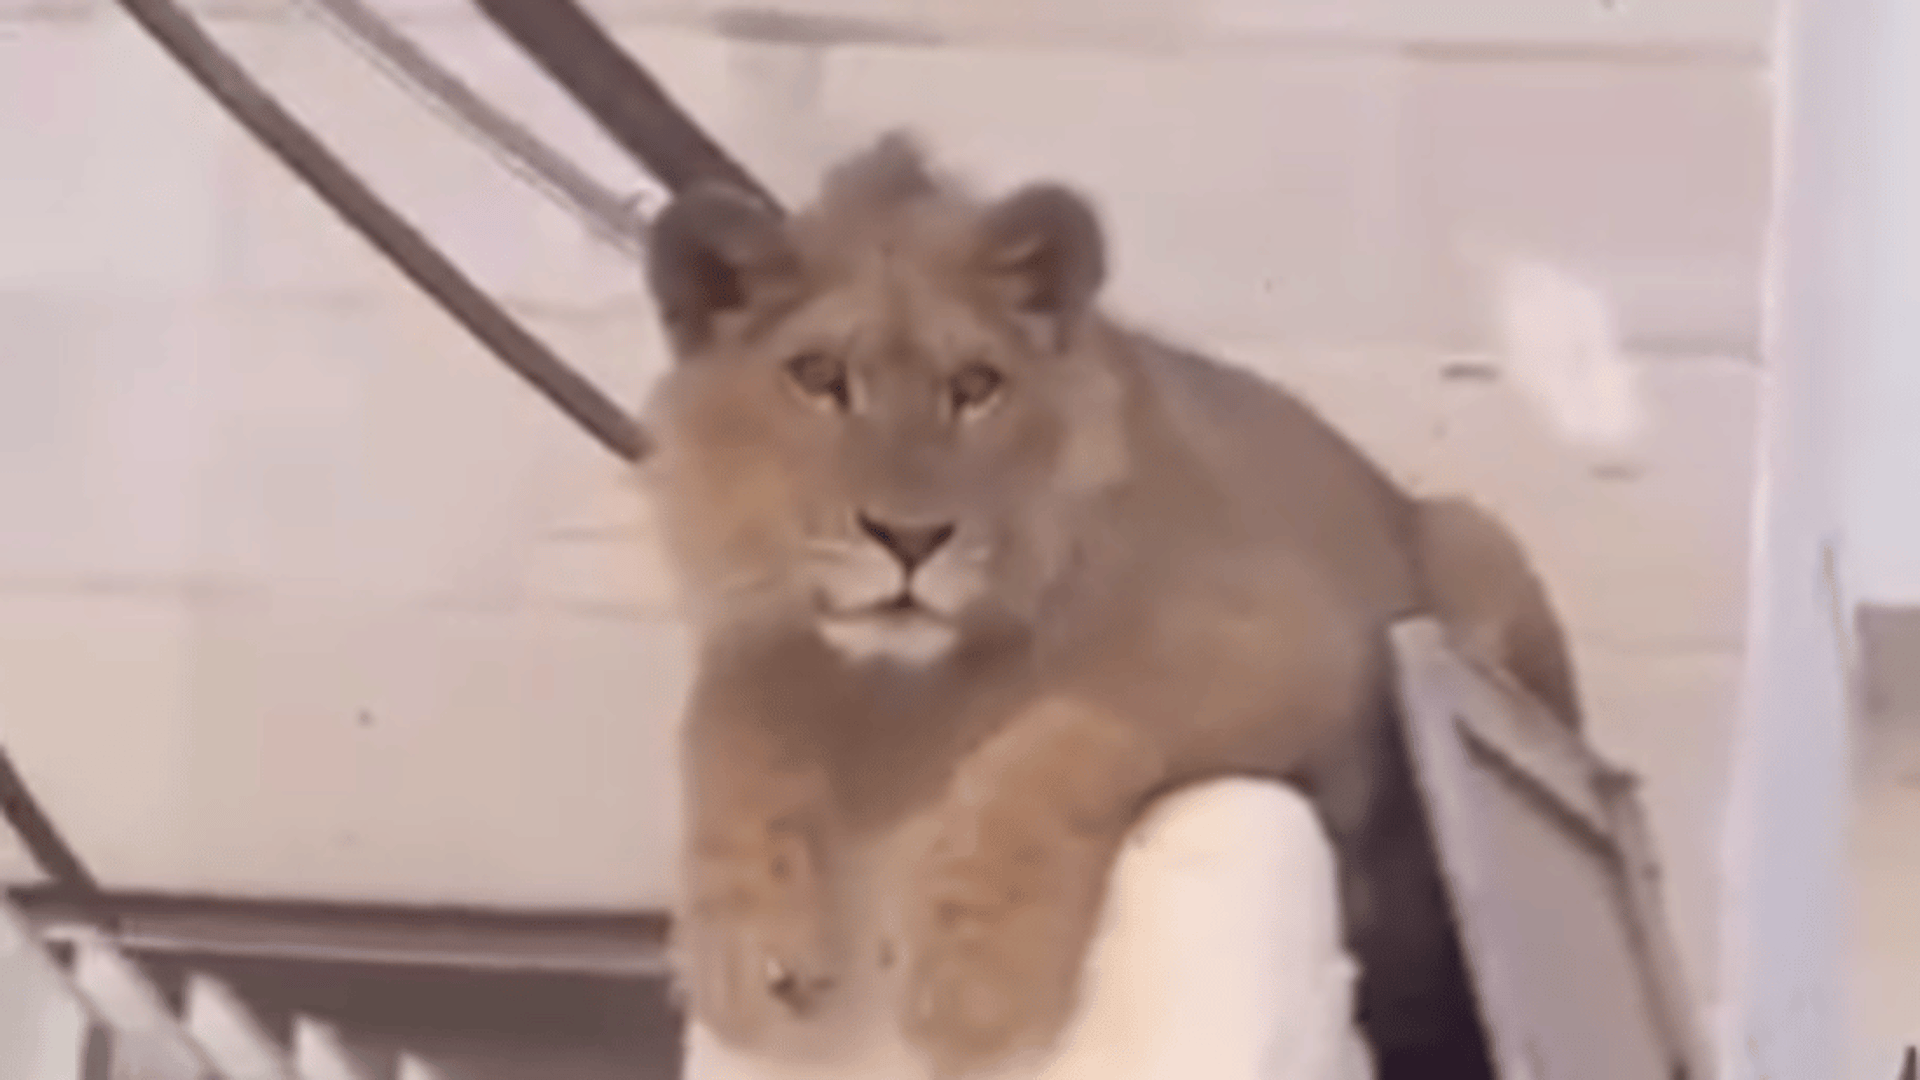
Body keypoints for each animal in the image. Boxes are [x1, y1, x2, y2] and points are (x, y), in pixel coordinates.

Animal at [636, 133, 1582, 1080]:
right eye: (818, 377)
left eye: (975, 386)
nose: (910, 538)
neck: (903, 689)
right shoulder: (758, 640)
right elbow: (722, 723)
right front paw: (739, 950)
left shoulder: (1292, 639)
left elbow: (1057, 741)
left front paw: (974, 982)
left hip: (1469, 537)